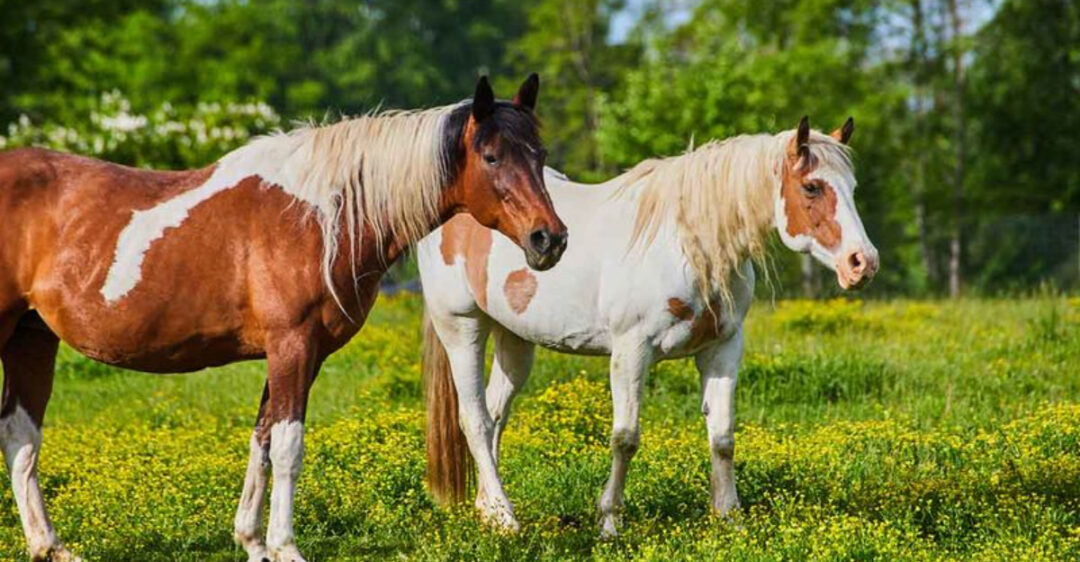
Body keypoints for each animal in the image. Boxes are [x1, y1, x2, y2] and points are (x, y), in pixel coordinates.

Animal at [0, 74, 567, 562]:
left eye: (539, 155)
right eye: (491, 156)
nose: (550, 239)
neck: (321, 218)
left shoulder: (301, 354)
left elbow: (265, 441)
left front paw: (253, 541)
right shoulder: (291, 345)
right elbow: (290, 445)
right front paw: (286, 545)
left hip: (32, 338)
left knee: (21, 435)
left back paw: (49, 546)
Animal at [419, 116, 878, 535]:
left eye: (854, 189)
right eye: (812, 187)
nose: (863, 263)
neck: (690, 245)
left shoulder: (723, 350)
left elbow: (722, 437)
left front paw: (730, 519)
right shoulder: (631, 350)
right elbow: (625, 438)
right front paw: (609, 523)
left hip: (514, 339)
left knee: (496, 414)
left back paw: (489, 511)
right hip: (461, 328)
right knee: (475, 420)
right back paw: (506, 519)